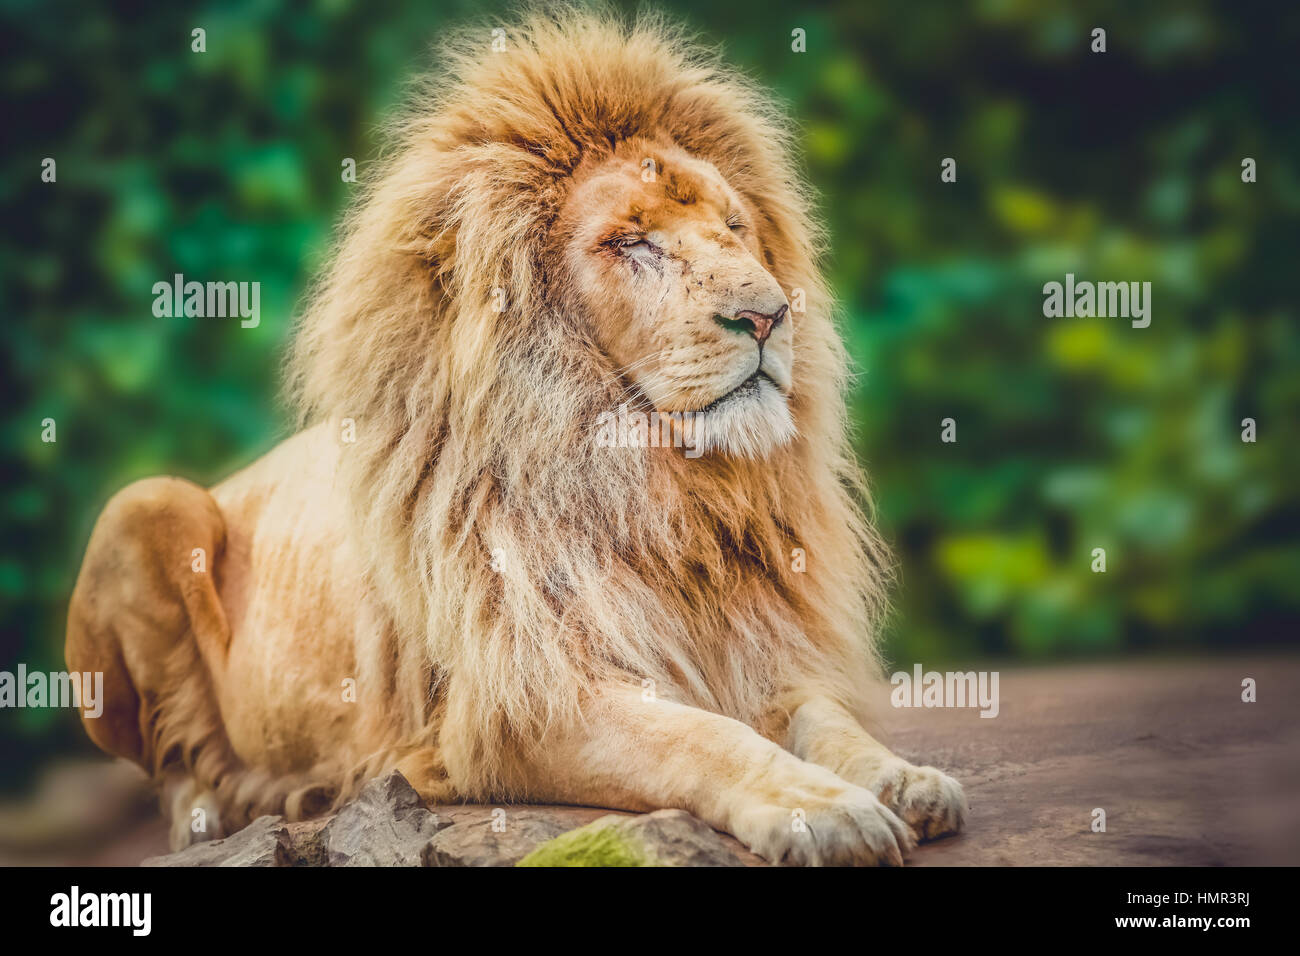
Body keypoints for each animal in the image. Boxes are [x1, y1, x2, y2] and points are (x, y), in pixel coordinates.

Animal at [65, 7, 966, 865]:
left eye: (737, 227)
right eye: (630, 243)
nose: (771, 315)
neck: (665, 496)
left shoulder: (761, 652)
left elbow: (829, 723)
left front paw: (905, 779)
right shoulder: (522, 707)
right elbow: (706, 740)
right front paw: (825, 811)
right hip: (143, 504)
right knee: (174, 764)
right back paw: (235, 808)